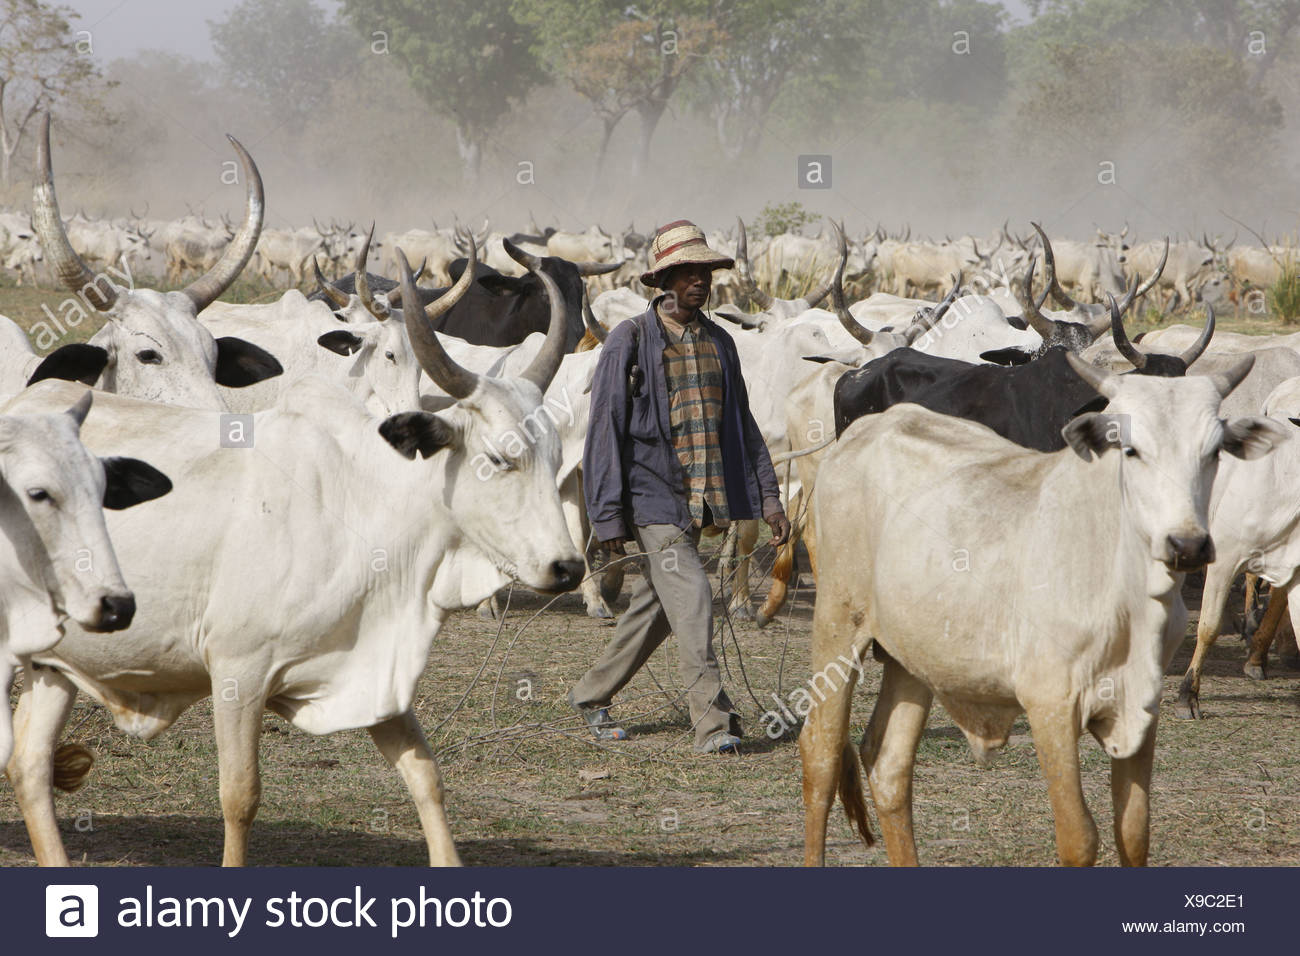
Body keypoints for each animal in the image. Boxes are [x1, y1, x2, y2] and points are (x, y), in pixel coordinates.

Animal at [801, 350, 1282, 867]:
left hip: (912, 656)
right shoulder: (1050, 705)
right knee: (820, 753)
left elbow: (1134, 832)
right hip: (836, 627)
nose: (1187, 545)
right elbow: (1078, 838)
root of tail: (868, 429)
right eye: (1131, 450)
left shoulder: (1141, 706)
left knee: (888, 765)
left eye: (1214, 451)